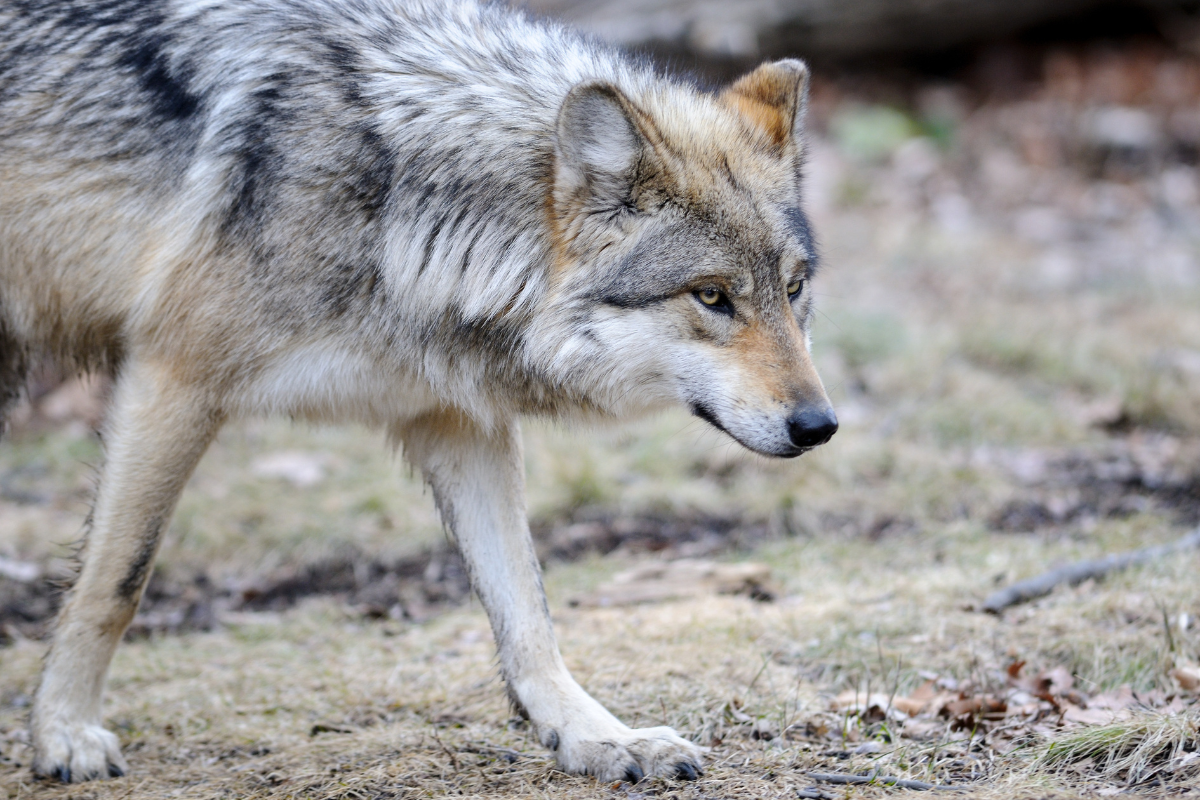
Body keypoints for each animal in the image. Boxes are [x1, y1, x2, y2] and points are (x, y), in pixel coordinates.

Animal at [0, 0, 838, 784]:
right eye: (712, 297)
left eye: (794, 289)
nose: (820, 425)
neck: (399, 202)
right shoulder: (172, 376)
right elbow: (117, 581)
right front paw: (64, 733)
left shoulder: (457, 420)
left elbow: (528, 611)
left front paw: (597, 736)